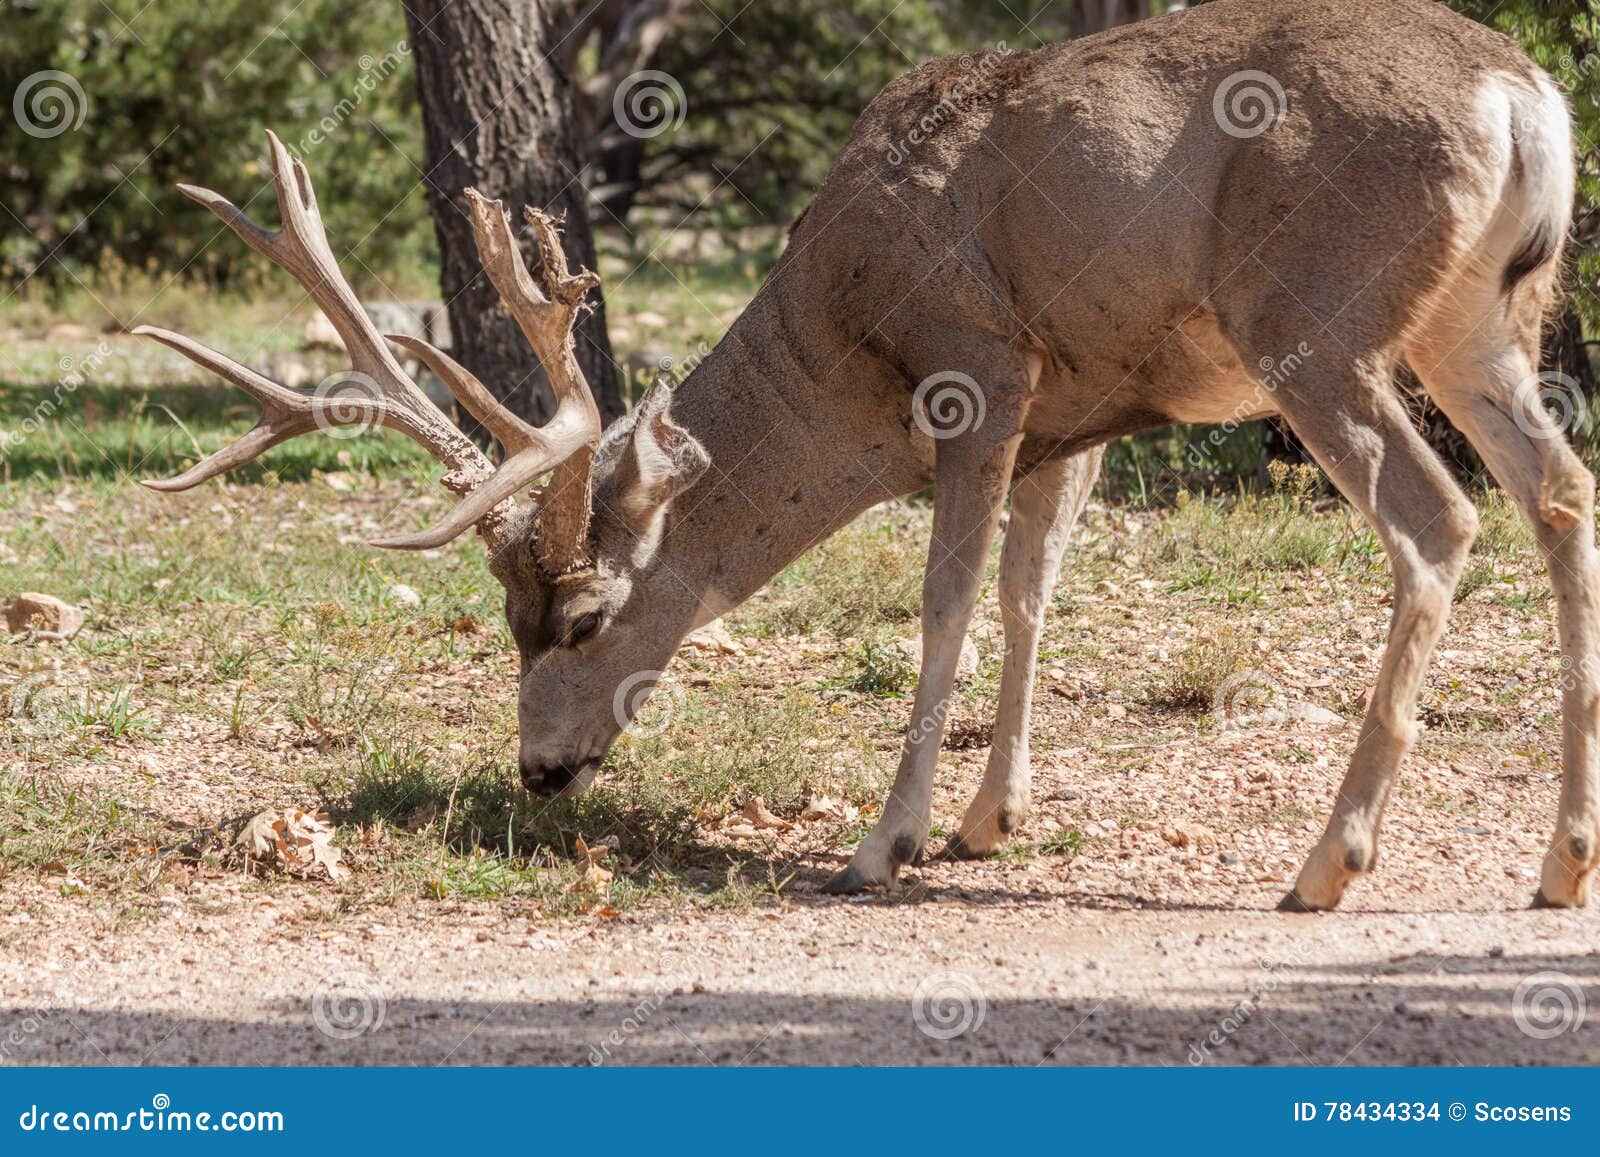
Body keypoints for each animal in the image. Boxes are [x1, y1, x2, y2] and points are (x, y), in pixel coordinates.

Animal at [138, 0, 1592, 911]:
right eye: (507, 624)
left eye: (587, 615)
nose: (539, 769)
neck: (833, 327)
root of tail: (1522, 96)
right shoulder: (1078, 404)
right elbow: (1033, 589)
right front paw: (985, 819)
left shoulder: (976, 358)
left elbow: (947, 597)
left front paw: (883, 839)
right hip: (1481, 316)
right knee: (1560, 490)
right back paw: (1558, 862)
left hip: (1317, 315)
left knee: (1440, 519)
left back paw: (1325, 865)